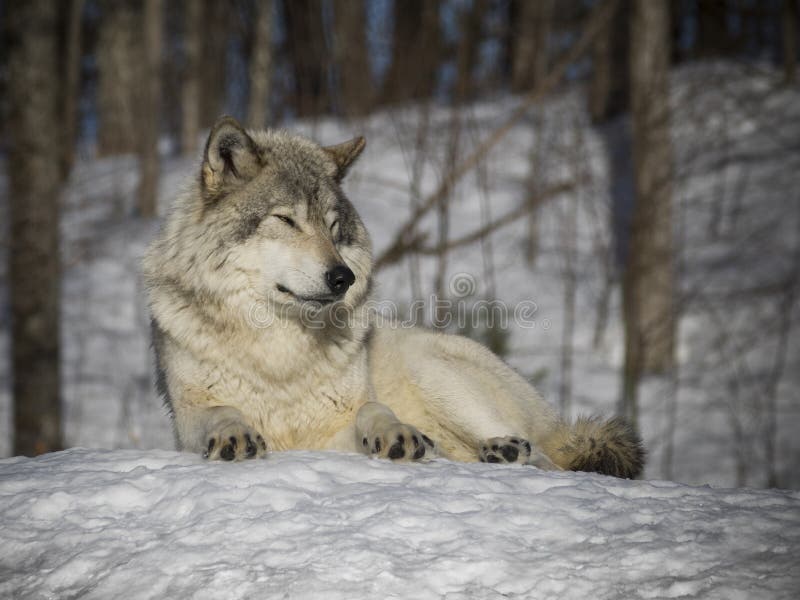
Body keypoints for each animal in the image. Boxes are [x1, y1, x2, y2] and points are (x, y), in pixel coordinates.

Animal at [142, 116, 644, 478]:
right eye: (285, 220)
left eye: (333, 227)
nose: (342, 277)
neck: (279, 352)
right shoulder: (187, 421)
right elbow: (221, 411)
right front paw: (233, 433)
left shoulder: (339, 427)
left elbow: (373, 409)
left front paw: (398, 434)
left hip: (432, 369)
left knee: (545, 457)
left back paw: (502, 450)